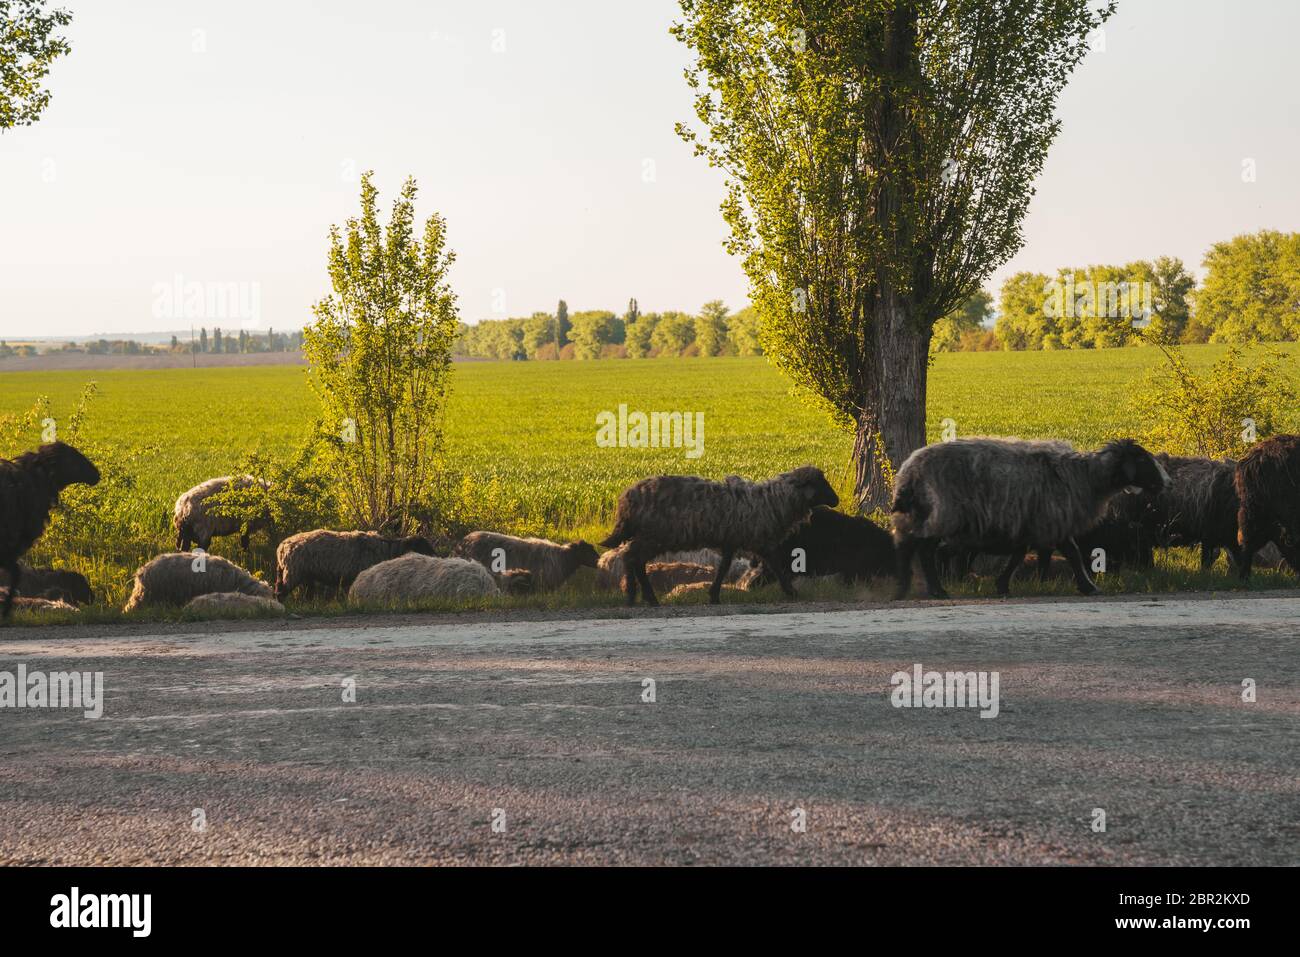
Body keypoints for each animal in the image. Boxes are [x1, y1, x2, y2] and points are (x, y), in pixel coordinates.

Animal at [273, 529, 435, 600]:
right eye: (423, 547)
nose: (436, 556)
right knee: (281, 592)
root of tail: (281, 547)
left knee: (306, 593)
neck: (387, 550)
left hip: (304, 575)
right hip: (293, 573)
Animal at [600, 466, 839, 606]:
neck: (774, 501)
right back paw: (637, 596)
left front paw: (714, 595)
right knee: (631, 557)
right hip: (655, 535)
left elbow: (724, 567)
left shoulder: (732, 540)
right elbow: (776, 566)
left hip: (650, 535)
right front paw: (791, 592)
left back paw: (642, 597)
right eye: (820, 483)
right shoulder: (759, 541)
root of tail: (627, 498)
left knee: (634, 558)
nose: (837, 501)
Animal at [891, 438, 1169, 599]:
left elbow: (1023, 554)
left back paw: (904, 588)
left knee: (907, 546)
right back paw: (937, 590)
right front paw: (1089, 586)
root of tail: (909, 472)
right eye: (1142, 458)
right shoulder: (1048, 519)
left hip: (919, 516)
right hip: (942, 514)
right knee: (925, 550)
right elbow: (1072, 553)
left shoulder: (1031, 523)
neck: (1086, 477)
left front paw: (1004, 584)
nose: (1167, 482)